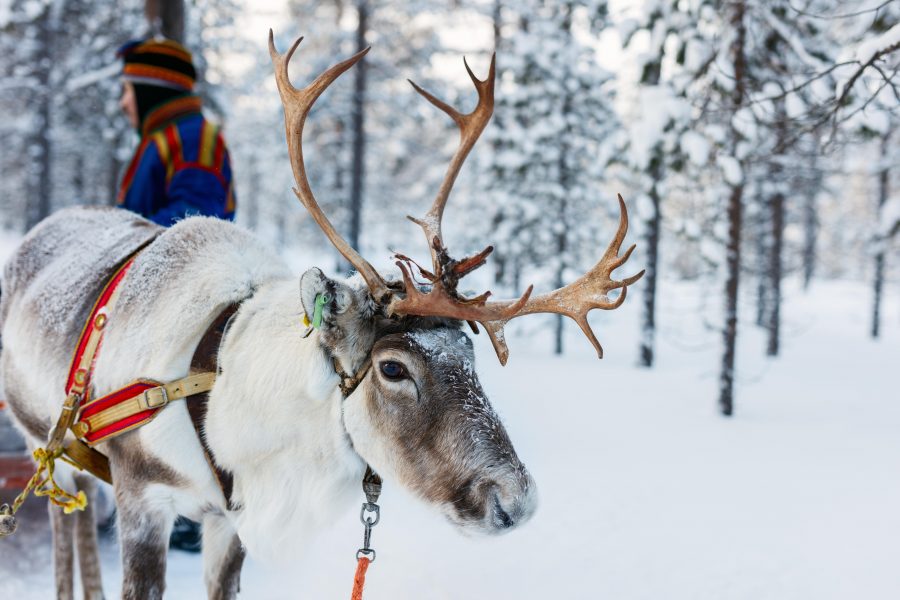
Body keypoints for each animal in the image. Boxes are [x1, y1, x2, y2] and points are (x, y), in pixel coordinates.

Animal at [0, 32, 643, 600]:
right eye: (393, 368)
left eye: (471, 354)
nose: (515, 502)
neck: (219, 387)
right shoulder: (142, 497)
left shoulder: (230, 521)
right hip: (46, 448)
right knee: (66, 523)